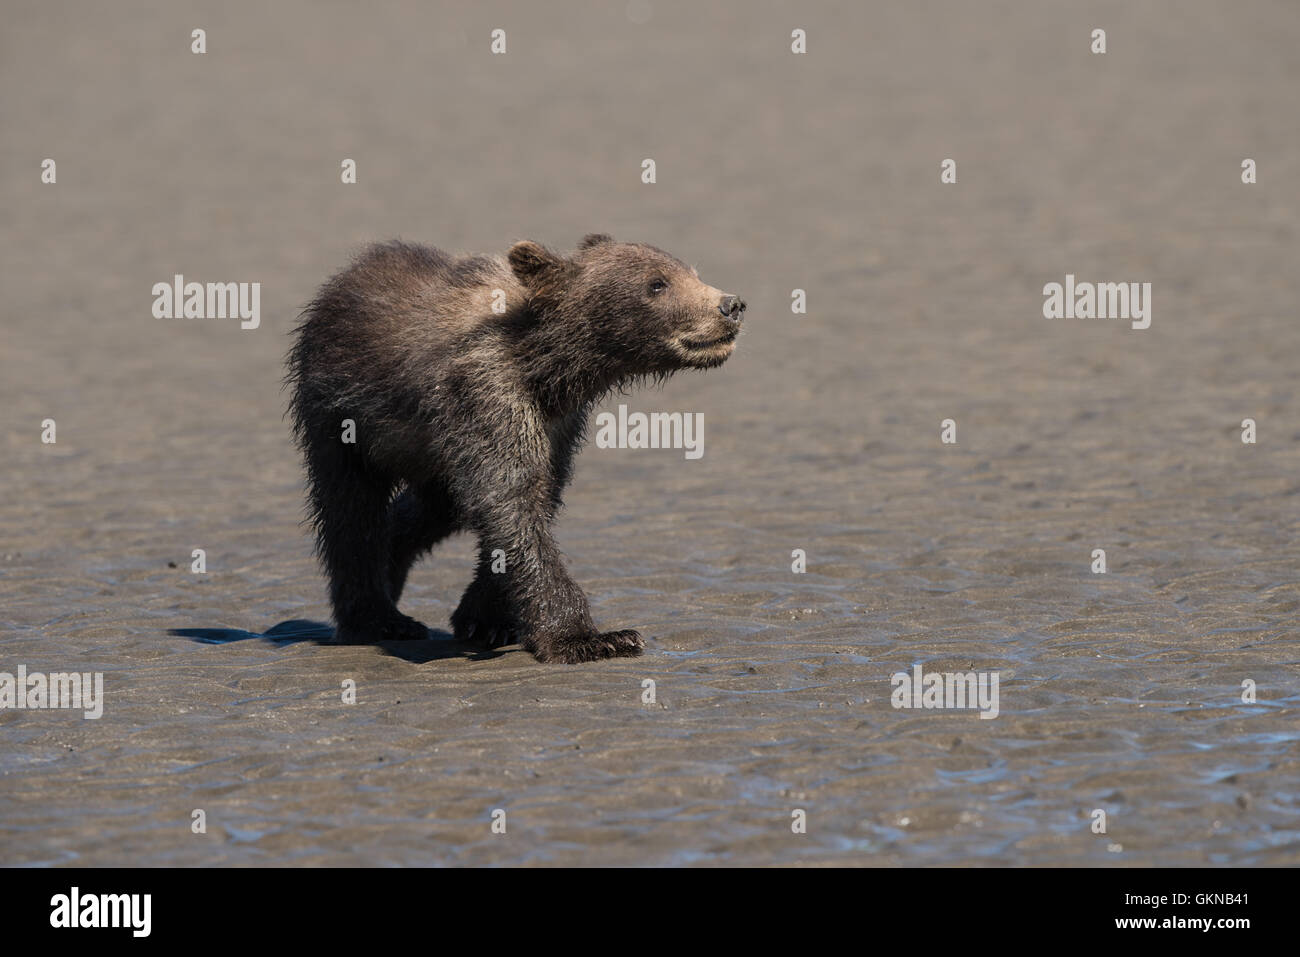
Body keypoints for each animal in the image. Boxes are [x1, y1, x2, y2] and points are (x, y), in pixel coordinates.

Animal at [285, 234, 745, 663]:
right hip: (339, 414)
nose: (731, 305)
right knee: (350, 510)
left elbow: (531, 495)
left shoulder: (558, 423)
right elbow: (509, 497)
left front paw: (484, 619)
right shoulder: (485, 389)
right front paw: (593, 638)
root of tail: (346, 276)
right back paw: (376, 618)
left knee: (433, 508)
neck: (547, 367)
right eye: (657, 283)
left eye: (692, 271)